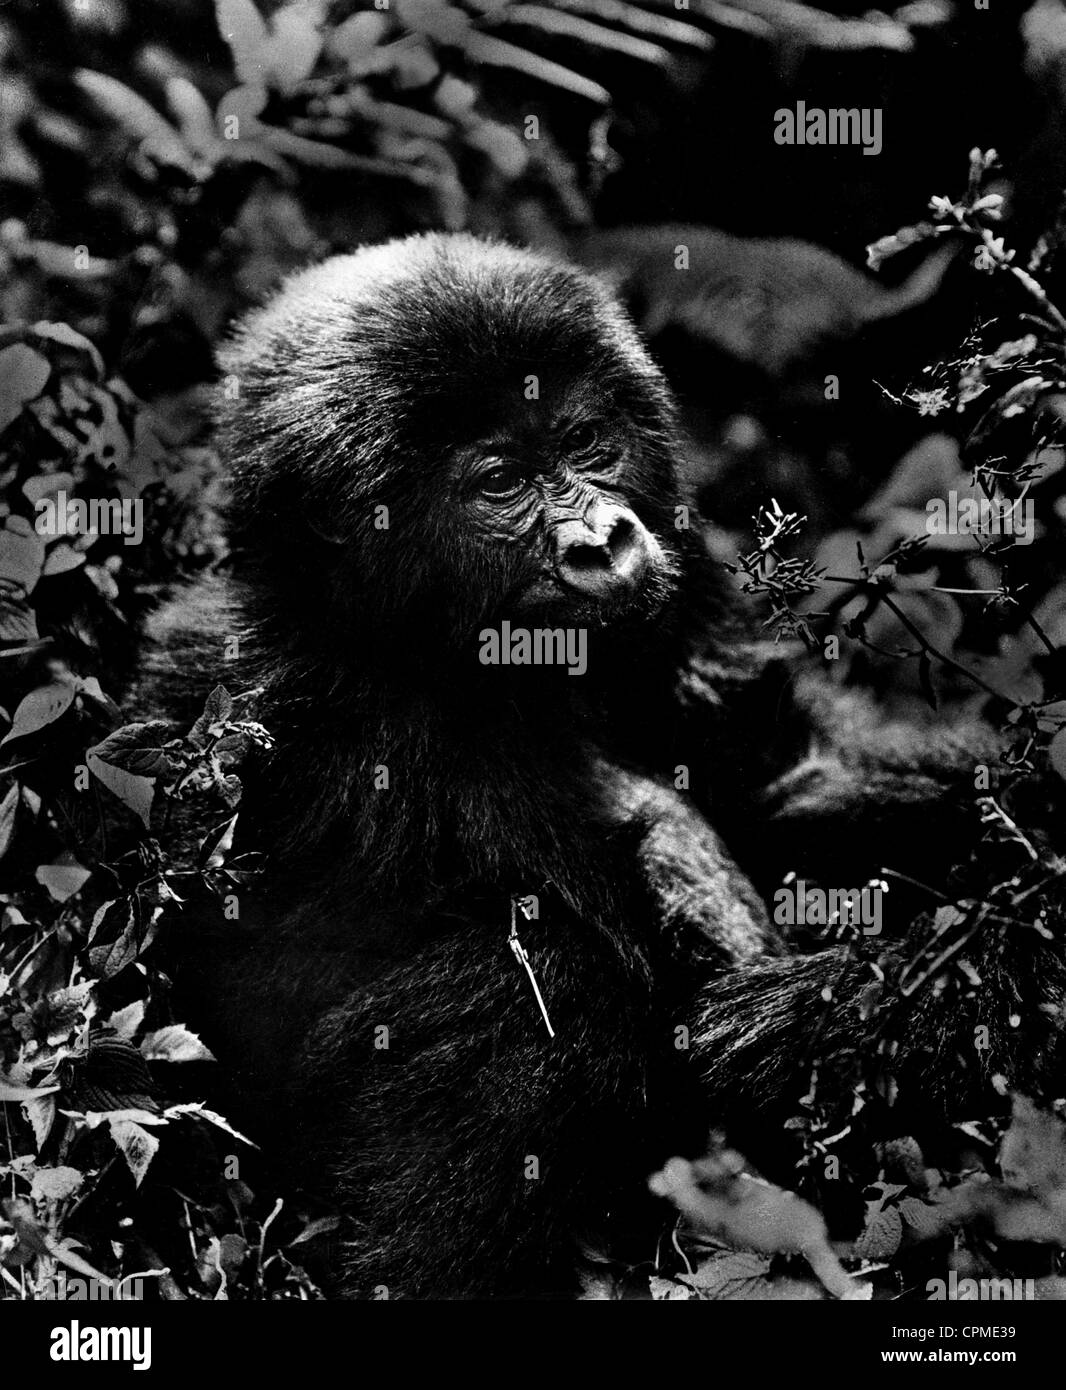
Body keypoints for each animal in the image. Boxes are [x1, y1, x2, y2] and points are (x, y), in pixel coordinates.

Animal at [135, 232, 1064, 1299]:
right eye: (500, 482)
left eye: (585, 445)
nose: (605, 539)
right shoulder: (318, 718)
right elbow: (680, 1035)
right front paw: (983, 991)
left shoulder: (686, 582)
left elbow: (788, 786)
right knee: (552, 983)